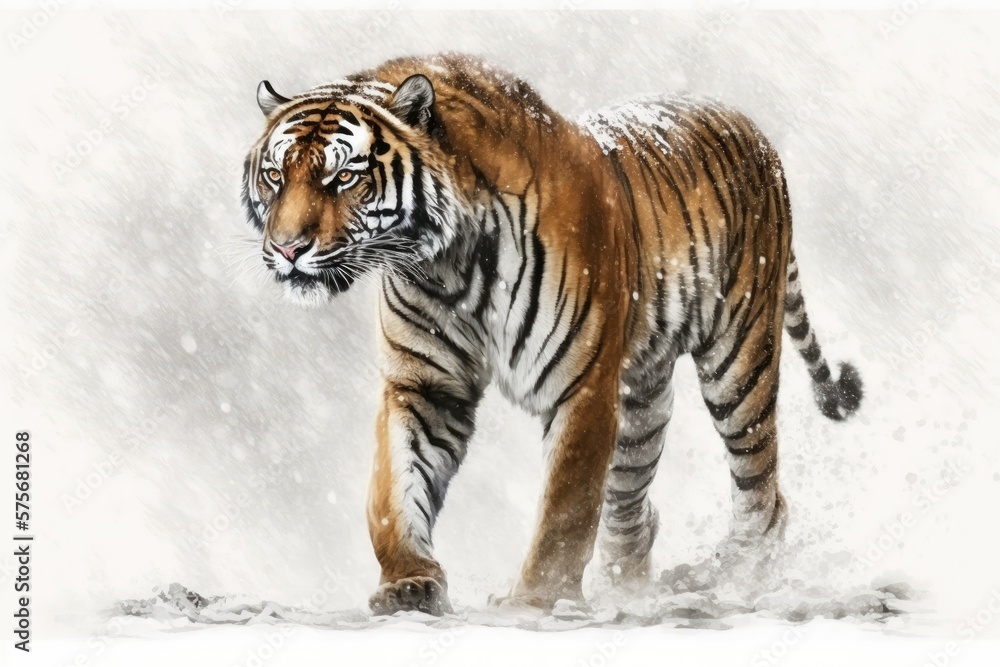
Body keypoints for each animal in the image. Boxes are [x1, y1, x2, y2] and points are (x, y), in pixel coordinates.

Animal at [241, 53, 863, 616]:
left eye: (344, 176)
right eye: (275, 175)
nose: (287, 249)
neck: (444, 264)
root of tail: (750, 127)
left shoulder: (581, 384)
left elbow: (566, 505)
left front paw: (536, 598)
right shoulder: (423, 385)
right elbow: (393, 491)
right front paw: (409, 584)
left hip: (739, 361)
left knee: (762, 489)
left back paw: (732, 577)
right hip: (642, 397)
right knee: (633, 502)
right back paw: (631, 590)